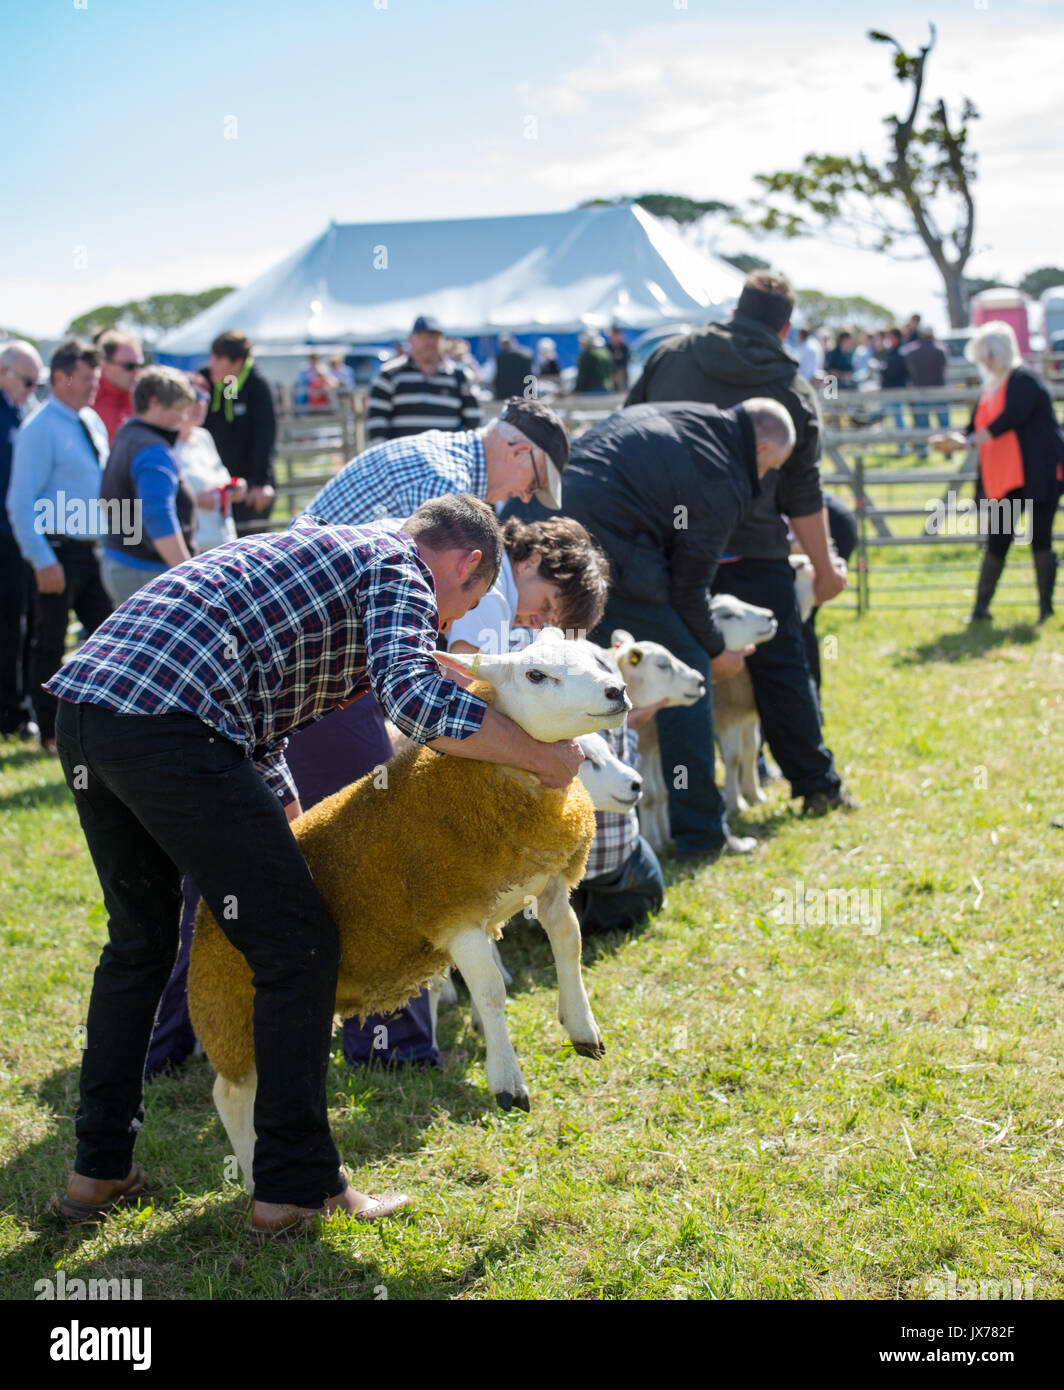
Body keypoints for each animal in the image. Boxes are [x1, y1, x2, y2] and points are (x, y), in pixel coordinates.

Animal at [187, 627, 630, 1191]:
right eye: (536, 675)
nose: (617, 692)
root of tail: (205, 914)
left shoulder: (548, 885)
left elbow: (569, 945)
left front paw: (582, 1028)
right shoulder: (454, 914)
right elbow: (491, 992)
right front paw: (507, 1081)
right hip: (228, 1008)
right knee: (228, 1094)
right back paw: (251, 1178)